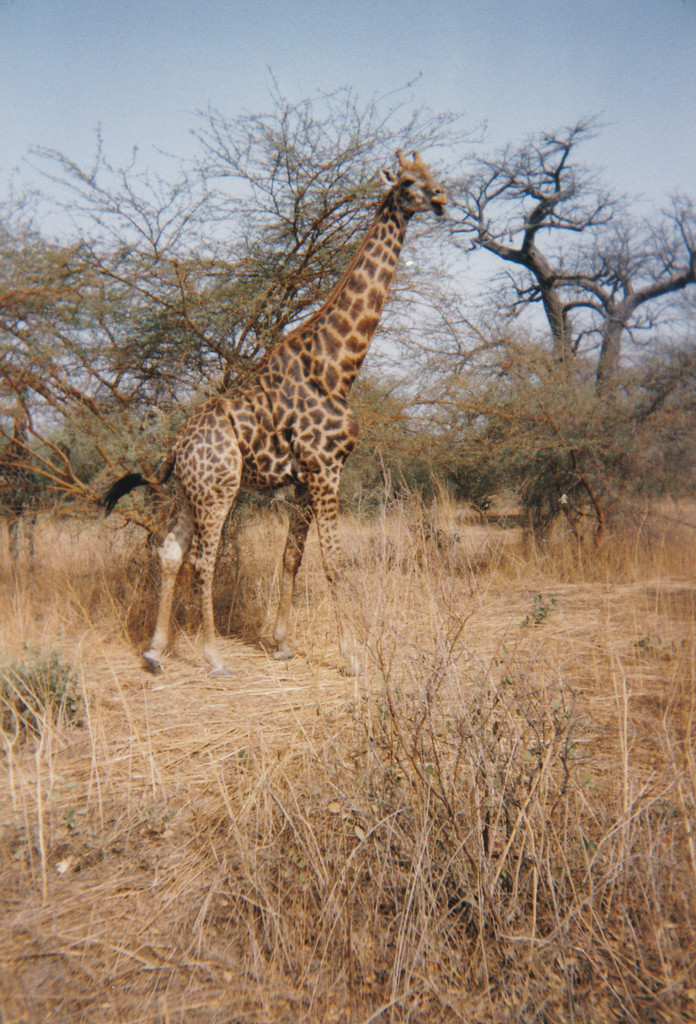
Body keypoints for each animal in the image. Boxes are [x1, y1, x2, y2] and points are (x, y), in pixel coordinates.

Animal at [104, 150, 446, 676]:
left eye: (432, 175)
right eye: (409, 182)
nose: (442, 199)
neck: (337, 365)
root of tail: (176, 447)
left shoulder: (306, 476)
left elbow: (292, 557)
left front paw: (284, 644)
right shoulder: (325, 468)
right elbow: (333, 562)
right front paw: (353, 656)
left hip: (190, 491)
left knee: (170, 552)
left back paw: (156, 652)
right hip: (219, 489)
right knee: (202, 560)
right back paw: (214, 657)